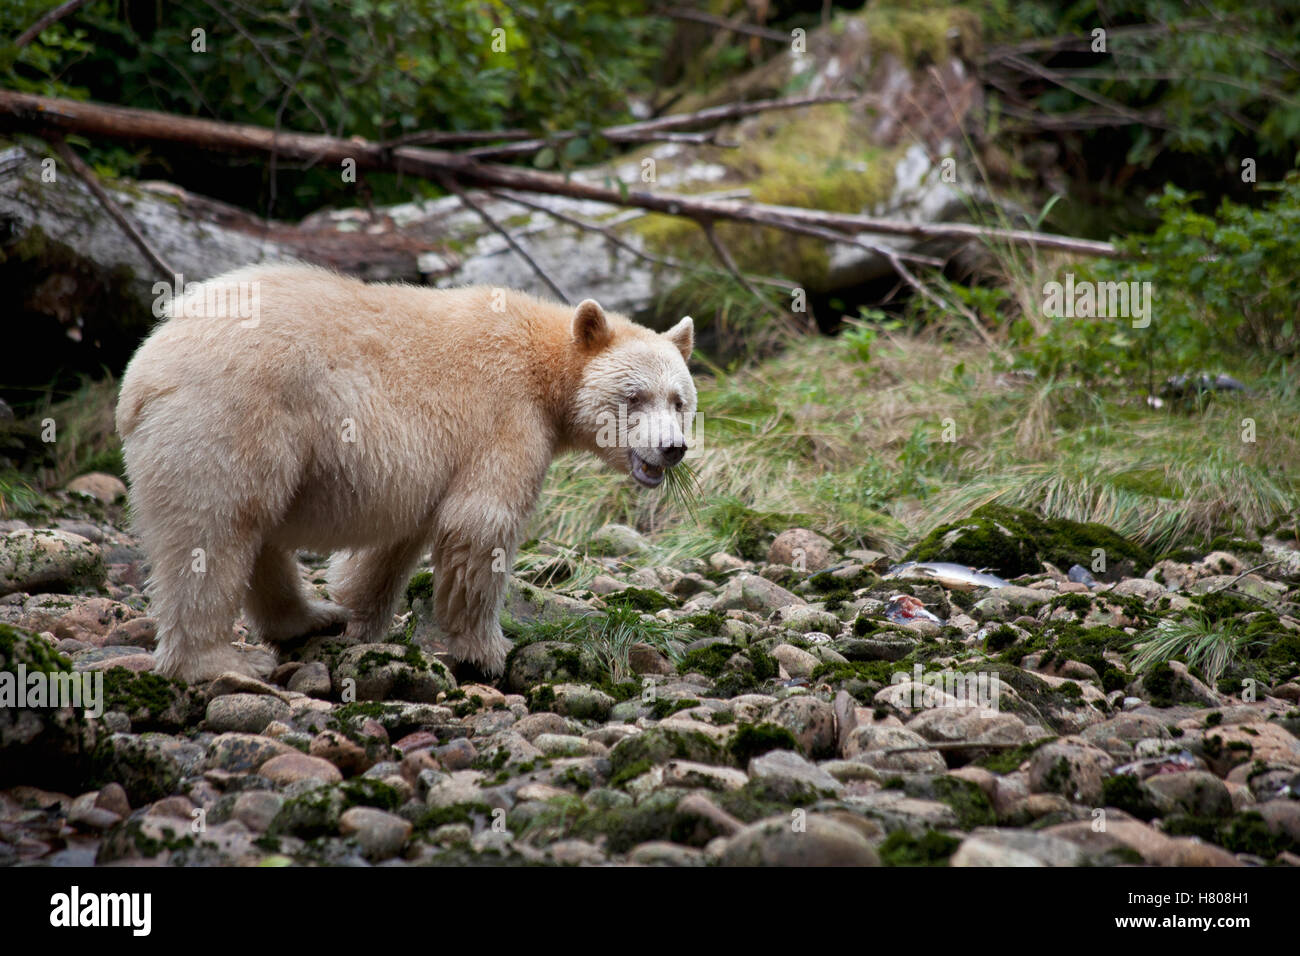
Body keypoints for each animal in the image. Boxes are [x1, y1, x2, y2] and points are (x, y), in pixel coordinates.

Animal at [116, 263, 696, 683]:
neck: (546, 362)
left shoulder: (431, 462)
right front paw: (489, 650)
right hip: (234, 414)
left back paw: (308, 616)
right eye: (634, 396)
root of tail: (143, 372)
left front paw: (361, 617)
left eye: (680, 399)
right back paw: (218, 662)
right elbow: (481, 524)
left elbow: (398, 542)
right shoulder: (503, 415)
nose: (672, 449)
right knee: (215, 529)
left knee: (255, 533)